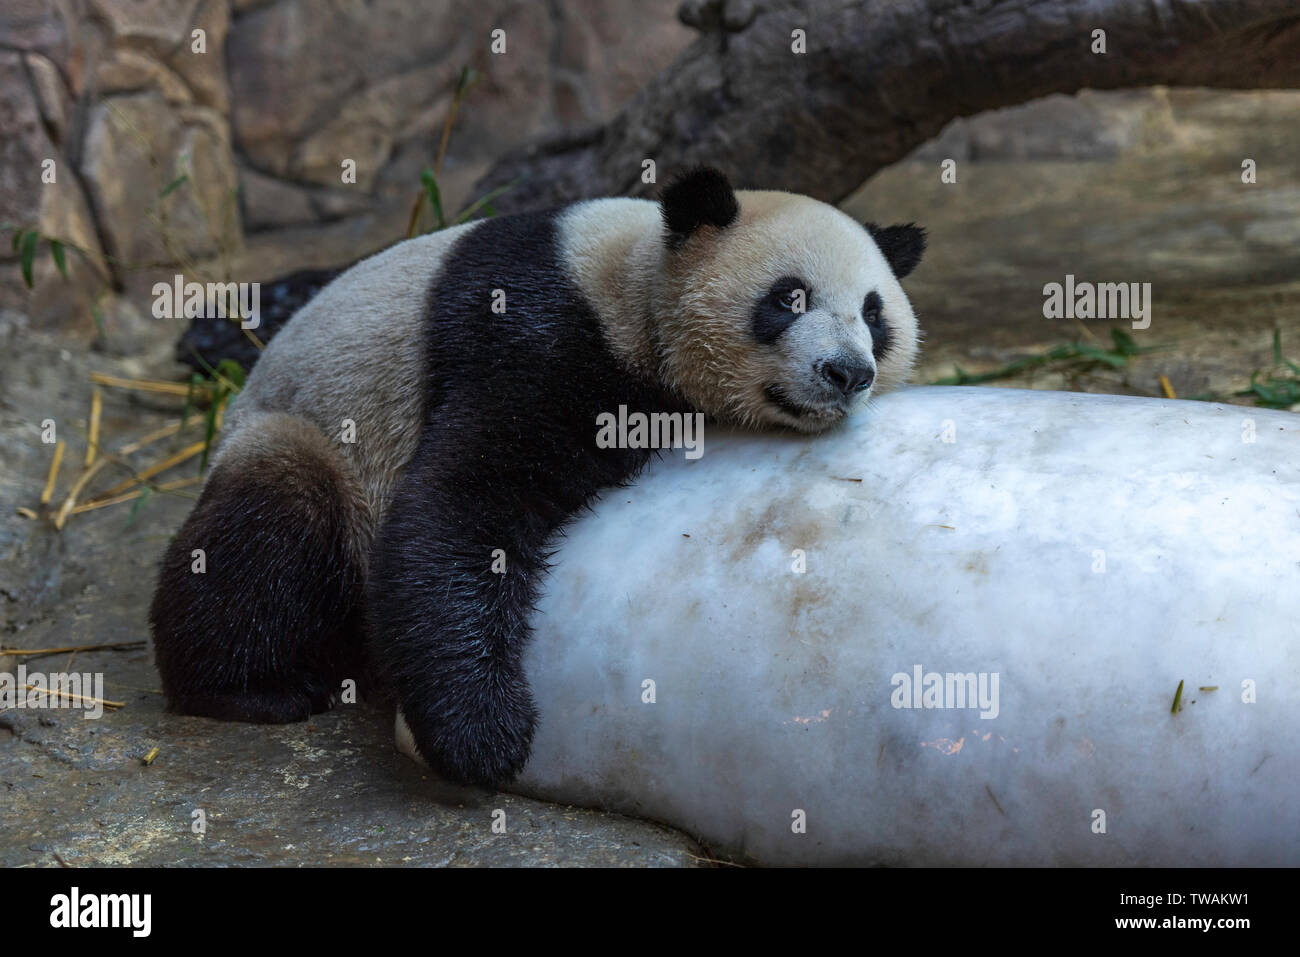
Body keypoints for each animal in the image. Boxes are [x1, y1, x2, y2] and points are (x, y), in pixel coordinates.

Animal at [150, 167, 926, 786]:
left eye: (874, 313)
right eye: (788, 298)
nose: (847, 371)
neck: (632, 286)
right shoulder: (531, 333)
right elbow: (459, 503)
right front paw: (483, 735)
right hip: (313, 435)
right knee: (271, 529)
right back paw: (248, 688)